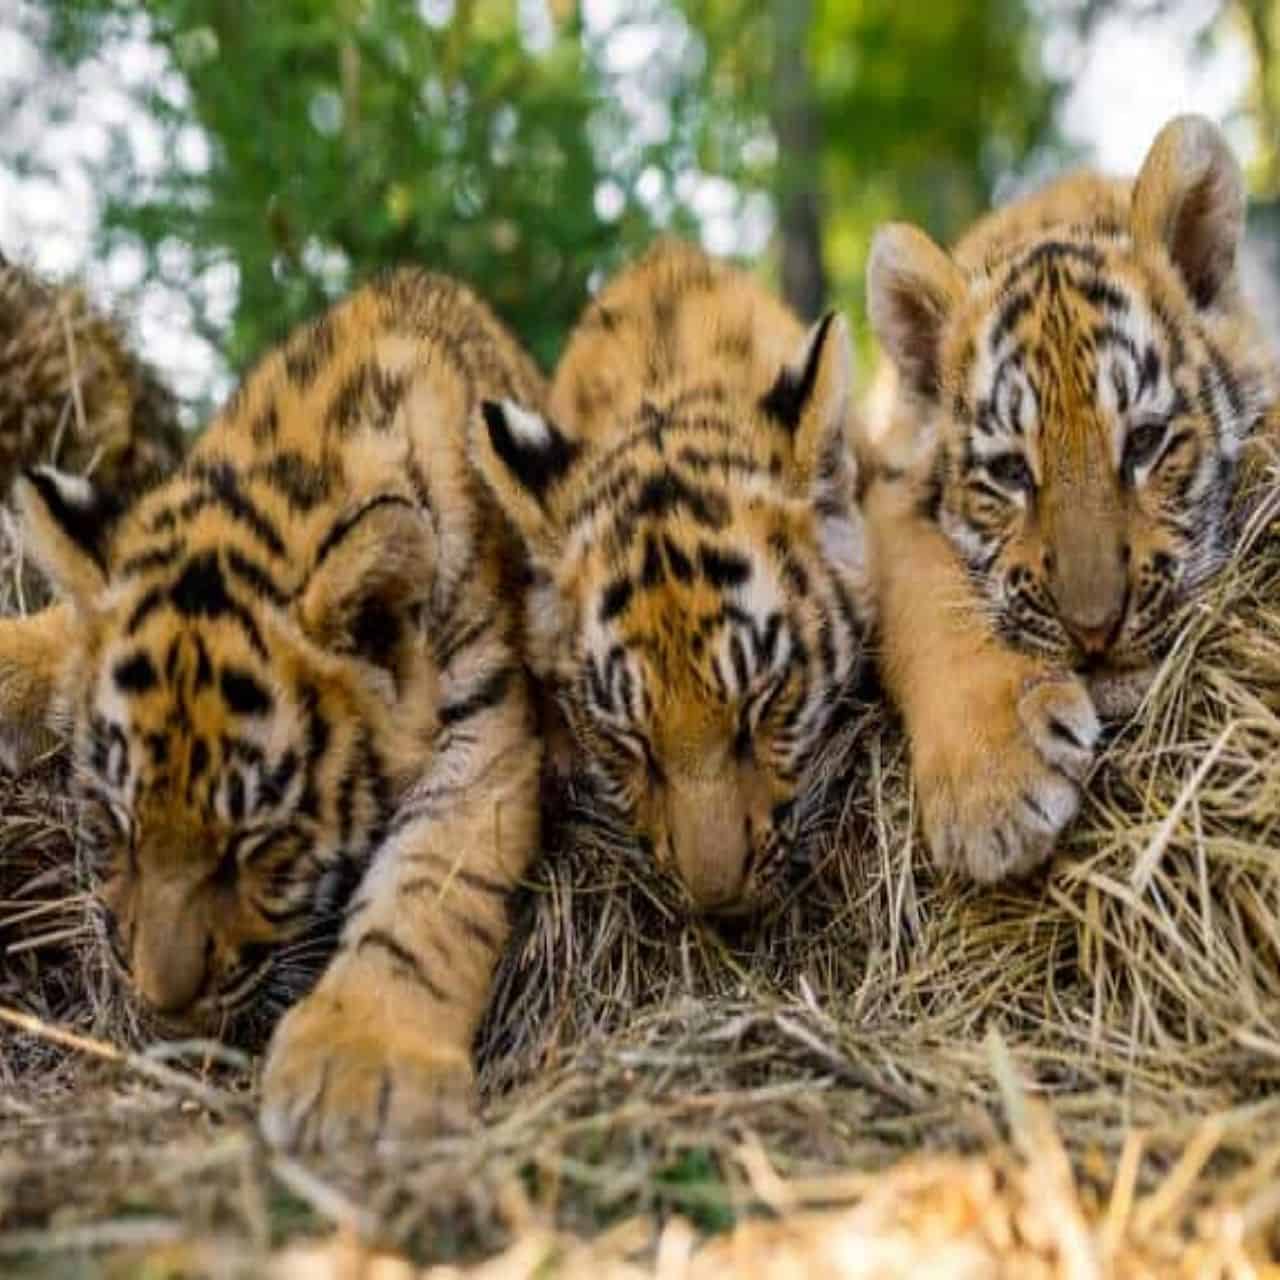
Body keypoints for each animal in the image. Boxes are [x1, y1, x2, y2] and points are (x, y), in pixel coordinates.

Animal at [0, 269, 546, 1149]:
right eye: (117, 826)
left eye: (259, 846)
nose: (164, 1004)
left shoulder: (491, 722)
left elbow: (429, 891)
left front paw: (361, 1060)